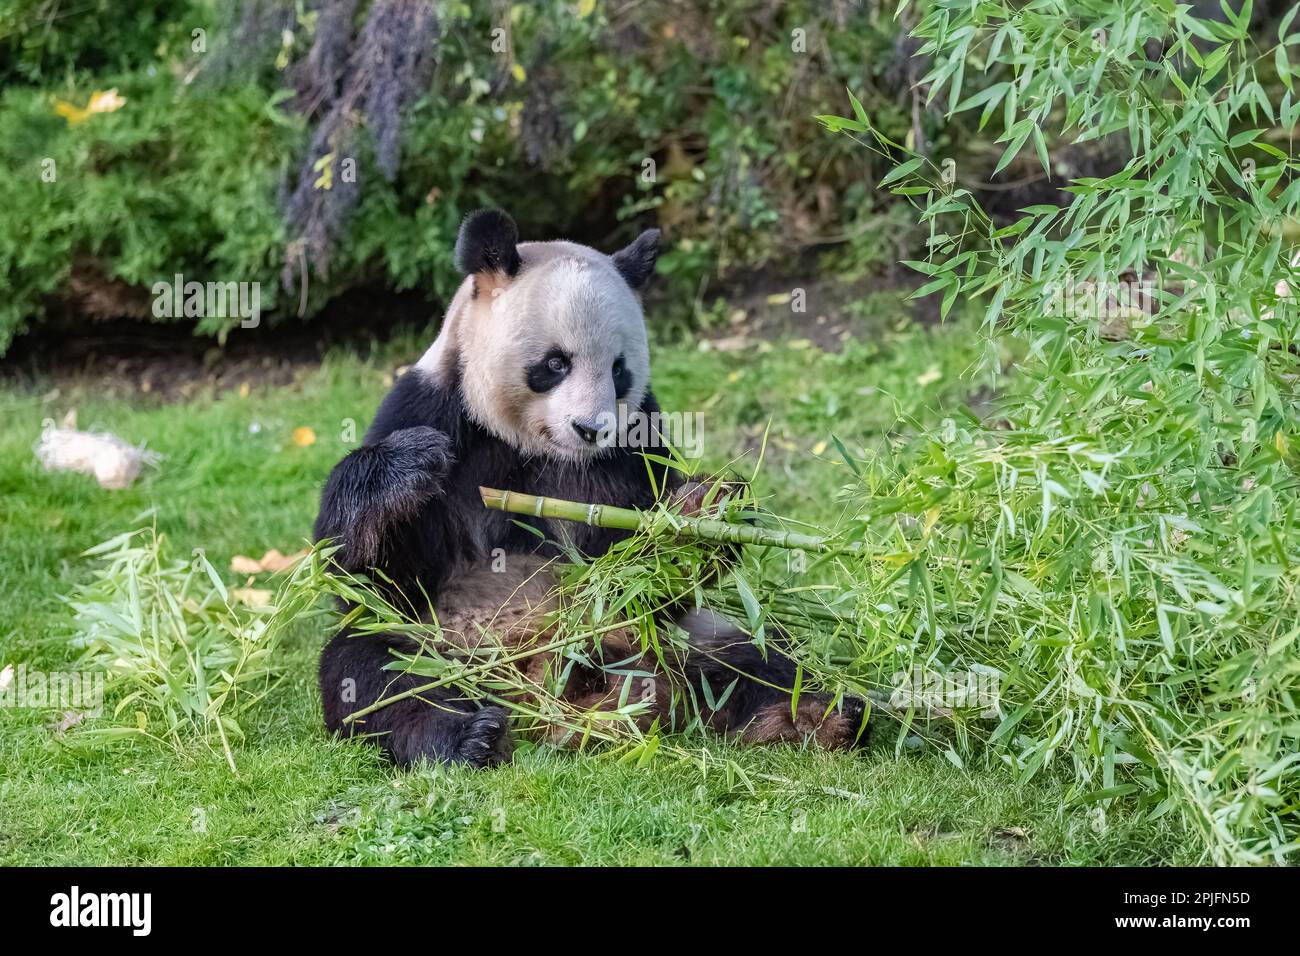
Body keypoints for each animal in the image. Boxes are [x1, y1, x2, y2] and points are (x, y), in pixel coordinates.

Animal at [314, 210, 866, 766]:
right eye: (555, 363)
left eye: (618, 369)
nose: (591, 428)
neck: (540, 447)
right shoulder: (435, 408)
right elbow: (374, 580)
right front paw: (409, 467)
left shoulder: (635, 444)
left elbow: (638, 577)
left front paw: (702, 516)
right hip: (444, 643)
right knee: (378, 674)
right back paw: (468, 737)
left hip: (685, 640)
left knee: (757, 657)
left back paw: (817, 715)